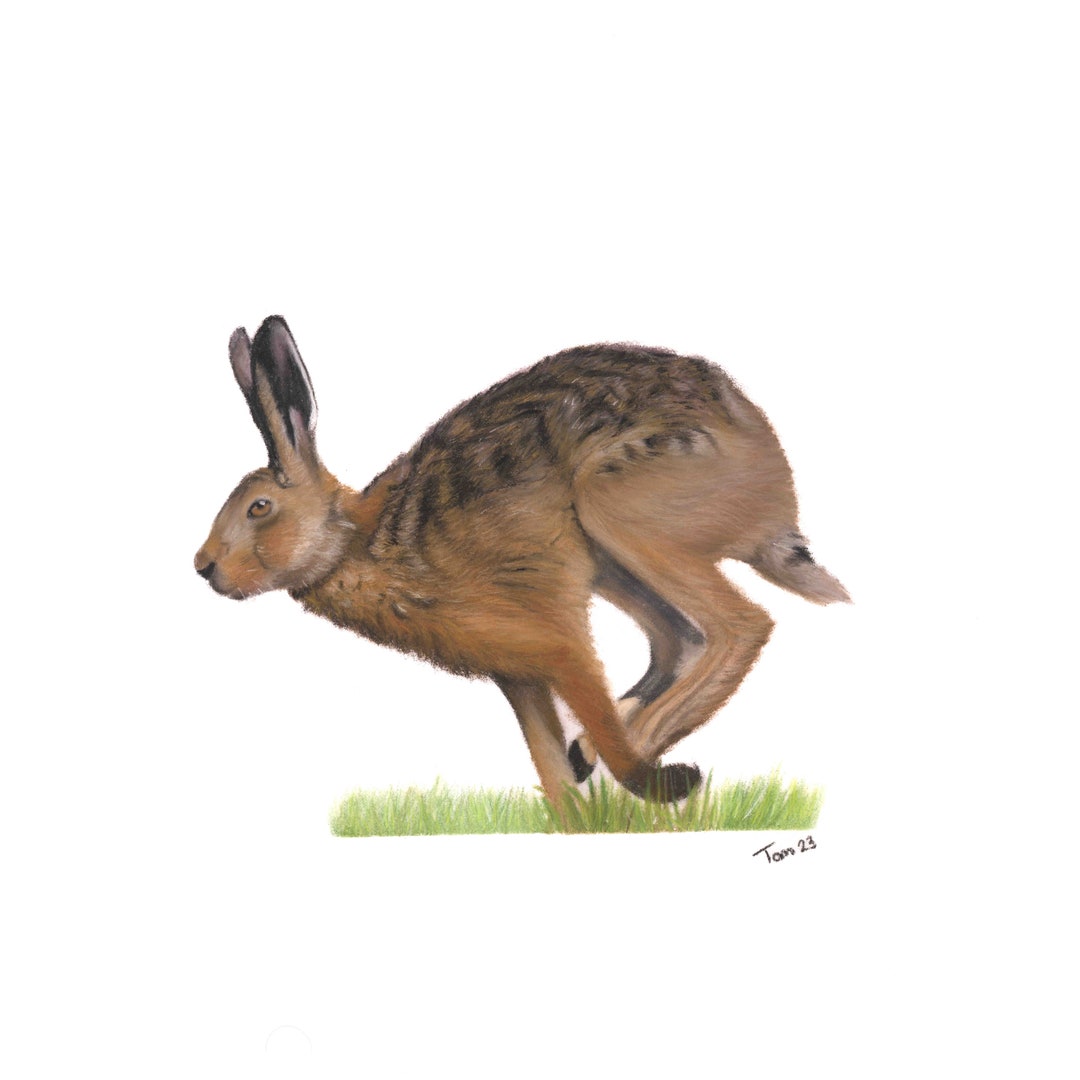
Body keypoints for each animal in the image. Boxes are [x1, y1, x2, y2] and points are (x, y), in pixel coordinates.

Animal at [194, 315, 849, 815]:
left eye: (259, 508)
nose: (203, 567)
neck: (359, 537)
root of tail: (771, 478)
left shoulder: (557, 642)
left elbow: (589, 702)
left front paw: (644, 781)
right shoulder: (517, 672)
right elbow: (548, 767)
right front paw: (575, 817)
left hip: (617, 510)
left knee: (739, 627)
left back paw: (645, 756)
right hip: (613, 558)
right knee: (678, 637)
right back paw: (601, 750)